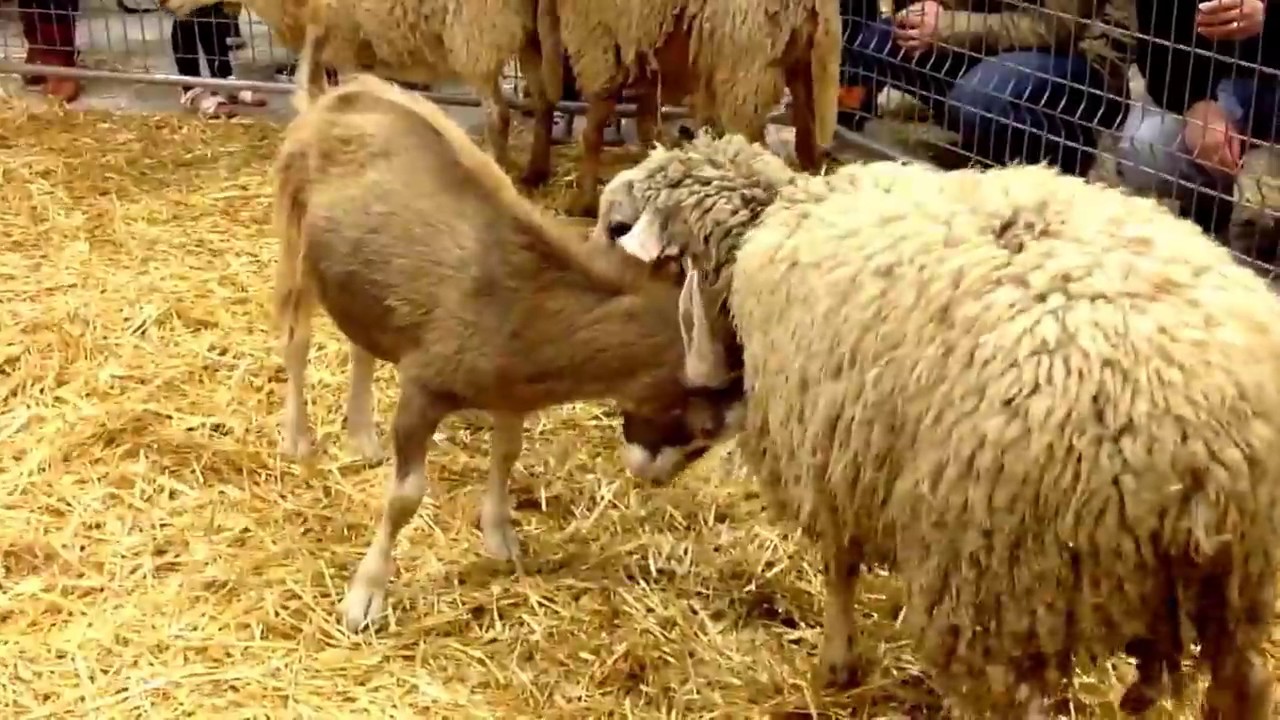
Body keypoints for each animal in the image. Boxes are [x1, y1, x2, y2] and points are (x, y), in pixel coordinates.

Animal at [159, 0, 564, 186]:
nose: (162, 4)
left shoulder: (340, 38)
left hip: (475, 37)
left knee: (499, 113)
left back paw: (500, 170)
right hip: (531, 36)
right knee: (544, 99)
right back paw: (536, 172)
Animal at [273, 59, 745, 633]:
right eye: (706, 426)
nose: (650, 474)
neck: (524, 300)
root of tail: (329, 98)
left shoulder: (511, 387)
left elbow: (507, 452)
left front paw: (500, 537)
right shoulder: (424, 388)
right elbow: (406, 495)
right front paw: (366, 596)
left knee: (361, 341)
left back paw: (362, 436)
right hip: (295, 234)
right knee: (295, 338)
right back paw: (297, 437)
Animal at [548, 0, 842, 217]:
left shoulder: (603, 44)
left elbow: (593, 133)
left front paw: (584, 203)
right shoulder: (647, 53)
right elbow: (646, 127)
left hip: (745, 72)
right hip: (807, 67)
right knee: (808, 143)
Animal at [593, 133, 1280, 718]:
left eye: (618, 231)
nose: (632, 454)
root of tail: (1211, 452)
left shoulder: (829, 448)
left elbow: (838, 565)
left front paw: (837, 664)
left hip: (998, 577)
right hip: (1239, 598)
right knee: (1247, 686)